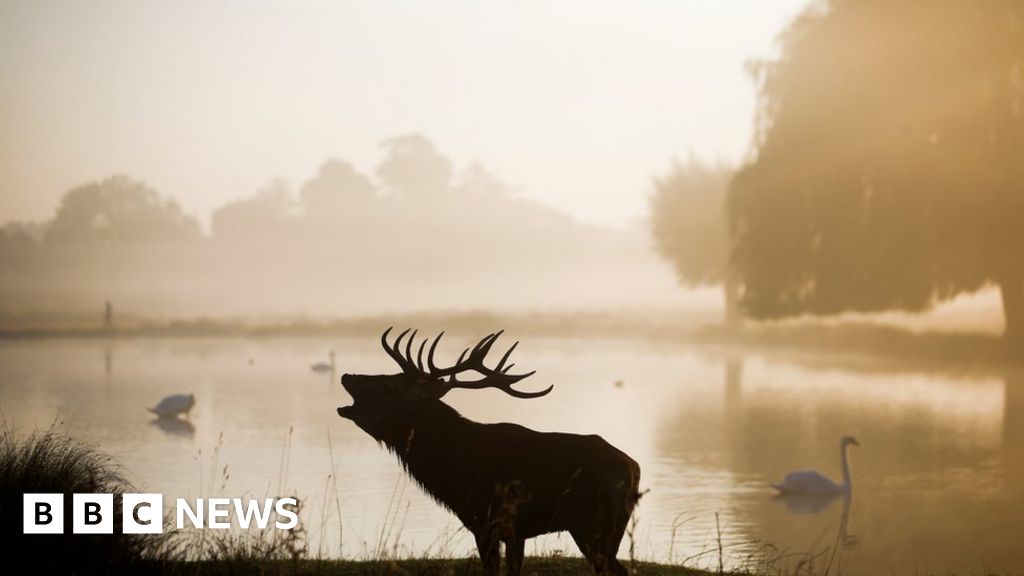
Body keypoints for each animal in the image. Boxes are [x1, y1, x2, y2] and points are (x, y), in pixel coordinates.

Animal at [336, 328, 641, 576]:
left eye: (388, 385)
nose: (347, 375)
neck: (447, 468)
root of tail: (633, 469)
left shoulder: (483, 520)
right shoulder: (516, 531)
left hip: (592, 524)